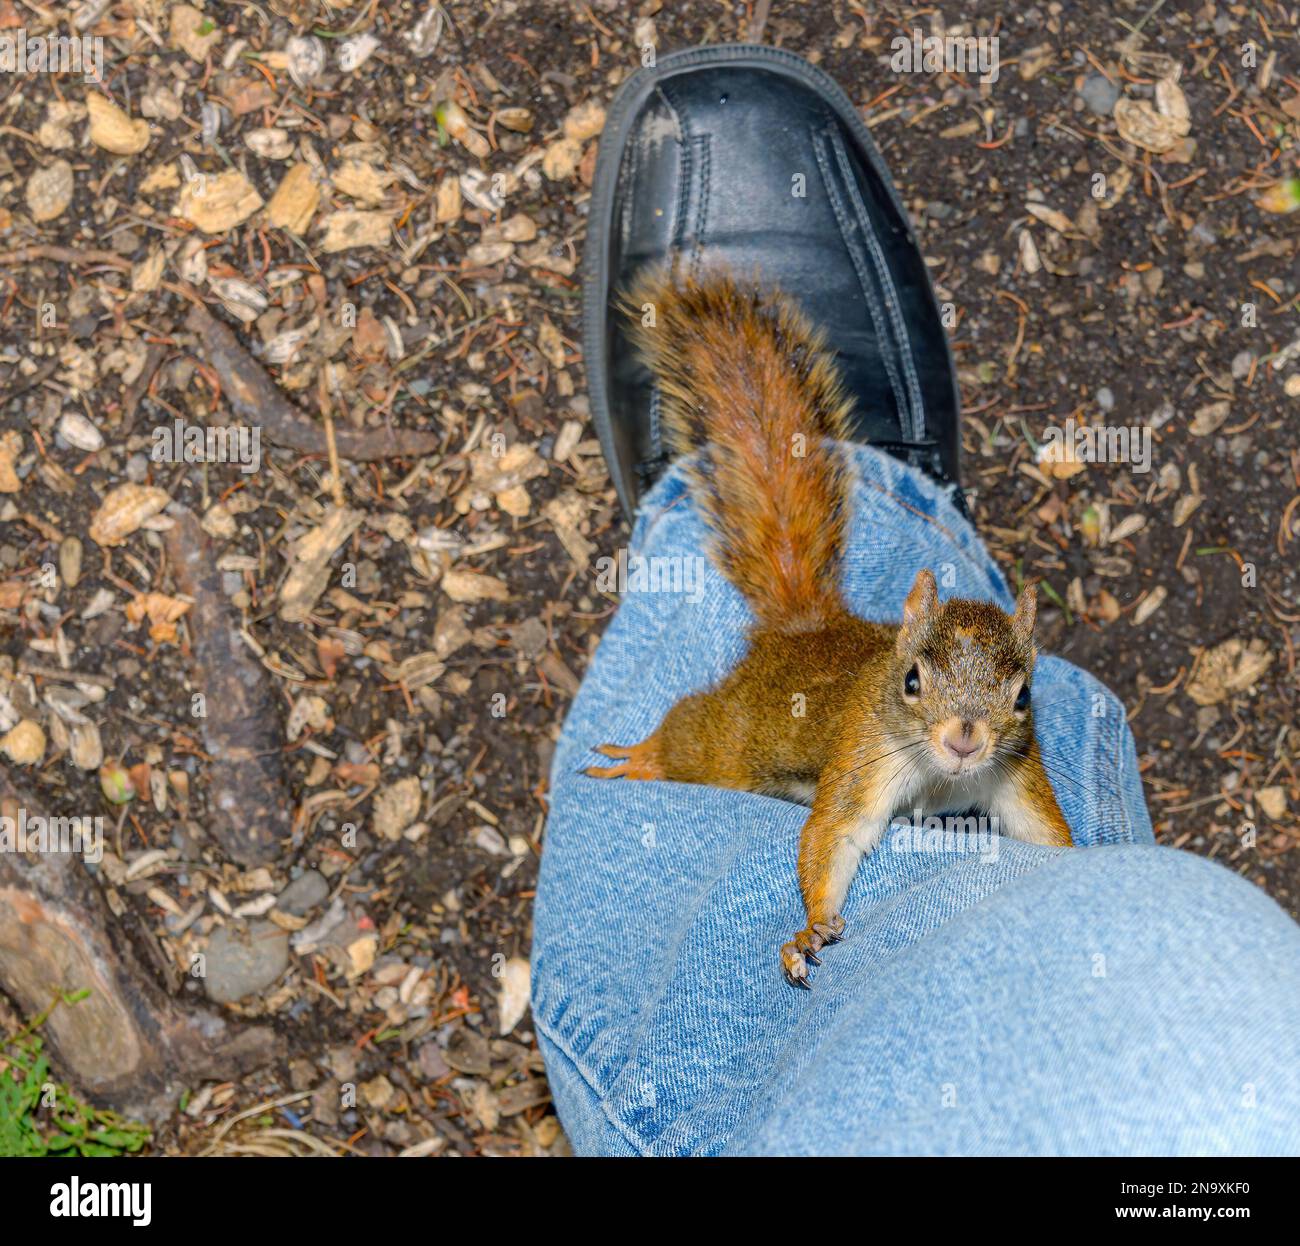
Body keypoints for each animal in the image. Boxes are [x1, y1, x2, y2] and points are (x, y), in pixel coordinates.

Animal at [586, 270, 1072, 987]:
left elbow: (1046, 839)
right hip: (732, 739)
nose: (965, 740)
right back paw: (645, 757)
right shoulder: (864, 755)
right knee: (689, 732)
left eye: (1023, 696)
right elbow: (834, 834)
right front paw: (812, 928)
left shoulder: (1015, 772)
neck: (942, 778)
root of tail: (803, 630)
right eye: (911, 681)